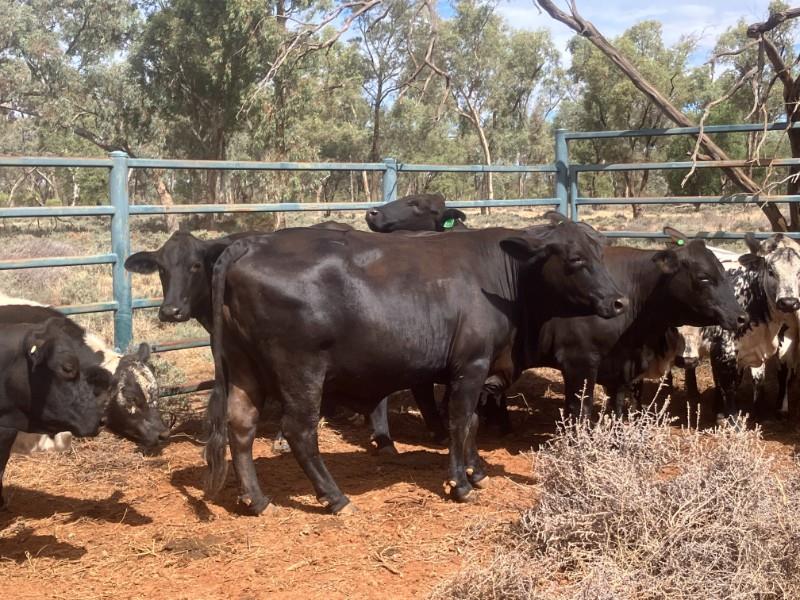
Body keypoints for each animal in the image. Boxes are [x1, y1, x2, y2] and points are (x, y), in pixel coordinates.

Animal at [204, 213, 627, 515]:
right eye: (575, 259)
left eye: (601, 253)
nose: (619, 301)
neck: (500, 279)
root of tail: (250, 244)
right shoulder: (471, 365)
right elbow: (459, 421)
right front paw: (460, 484)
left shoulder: (472, 371)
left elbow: (473, 422)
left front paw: (478, 470)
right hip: (300, 370)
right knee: (300, 431)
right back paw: (335, 498)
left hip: (244, 368)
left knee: (241, 425)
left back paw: (256, 500)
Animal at [526, 234, 745, 419]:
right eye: (703, 277)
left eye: (724, 273)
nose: (741, 317)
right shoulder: (578, 362)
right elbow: (580, 411)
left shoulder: (619, 370)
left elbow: (618, 407)